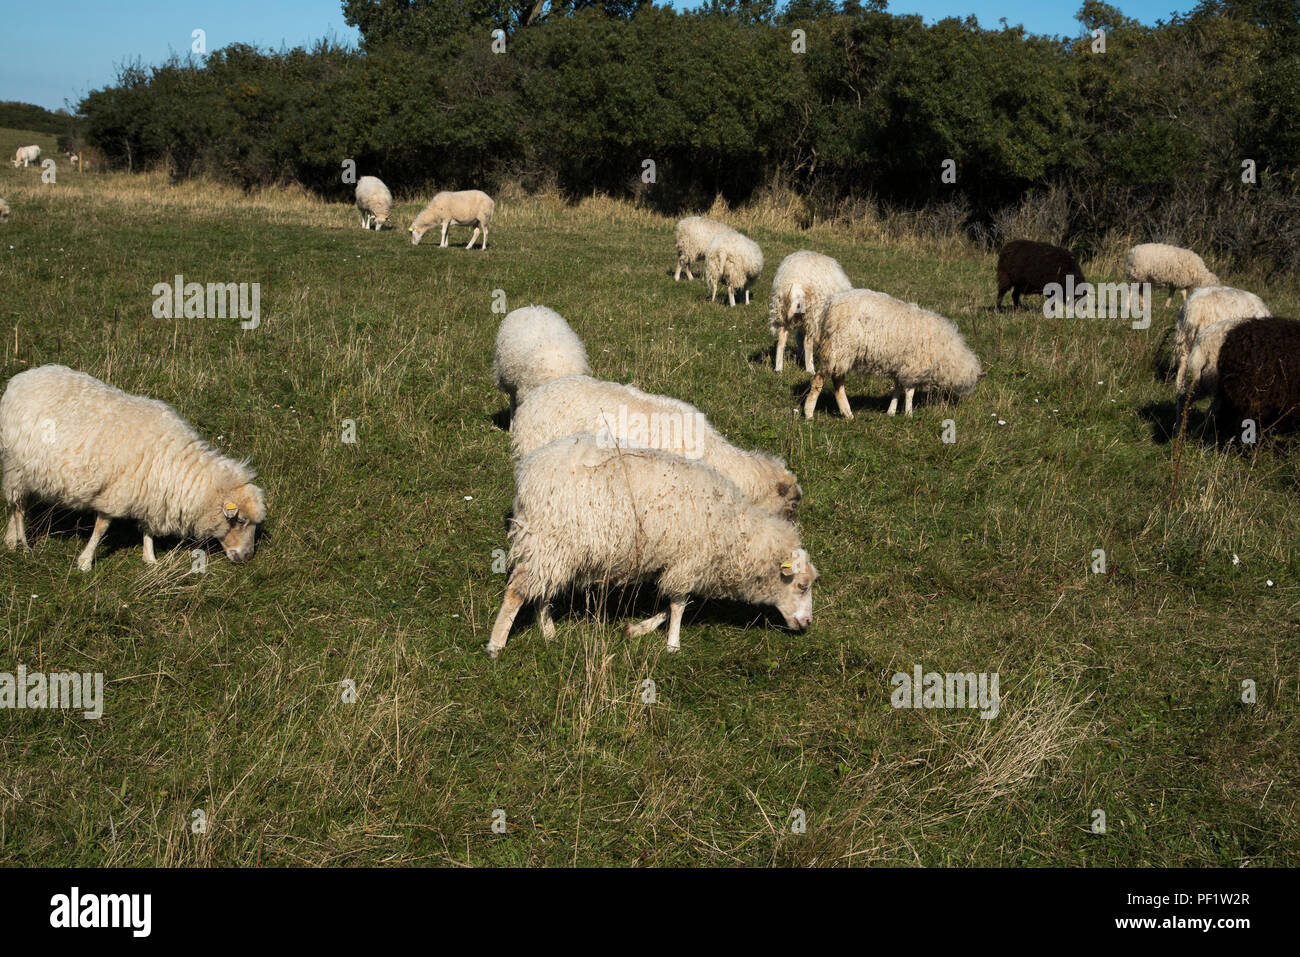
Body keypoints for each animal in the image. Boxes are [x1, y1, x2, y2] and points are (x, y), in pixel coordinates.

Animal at [0, 365, 267, 571]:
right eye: (241, 520)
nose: (247, 557)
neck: (175, 465)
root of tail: (21, 379)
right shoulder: (116, 491)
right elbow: (101, 527)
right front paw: (85, 561)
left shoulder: (150, 492)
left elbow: (147, 528)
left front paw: (150, 558)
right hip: (17, 466)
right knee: (18, 507)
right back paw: (24, 544)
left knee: (19, 505)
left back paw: (10, 540)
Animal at [486, 432, 818, 657]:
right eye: (801, 586)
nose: (807, 623)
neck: (735, 532)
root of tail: (528, 473)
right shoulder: (689, 560)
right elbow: (679, 604)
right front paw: (673, 645)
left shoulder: (675, 564)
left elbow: (670, 604)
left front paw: (638, 629)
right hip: (550, 540)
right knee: (517, 591)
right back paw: (496, 644)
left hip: (552, 549)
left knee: (541, 590)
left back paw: (548, 633)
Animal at [804, 289, 983, 419]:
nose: (955, 403)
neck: (947, 352)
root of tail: (831, 305)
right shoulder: (913, 366)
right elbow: (910, 391)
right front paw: (909, 413)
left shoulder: (901, 366)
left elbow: (897, 388)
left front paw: (891, 411)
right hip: (838, 348)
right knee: (820, 379)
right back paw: (809, 412)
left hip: (843, 353)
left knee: (838, 381)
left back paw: (847, 413)